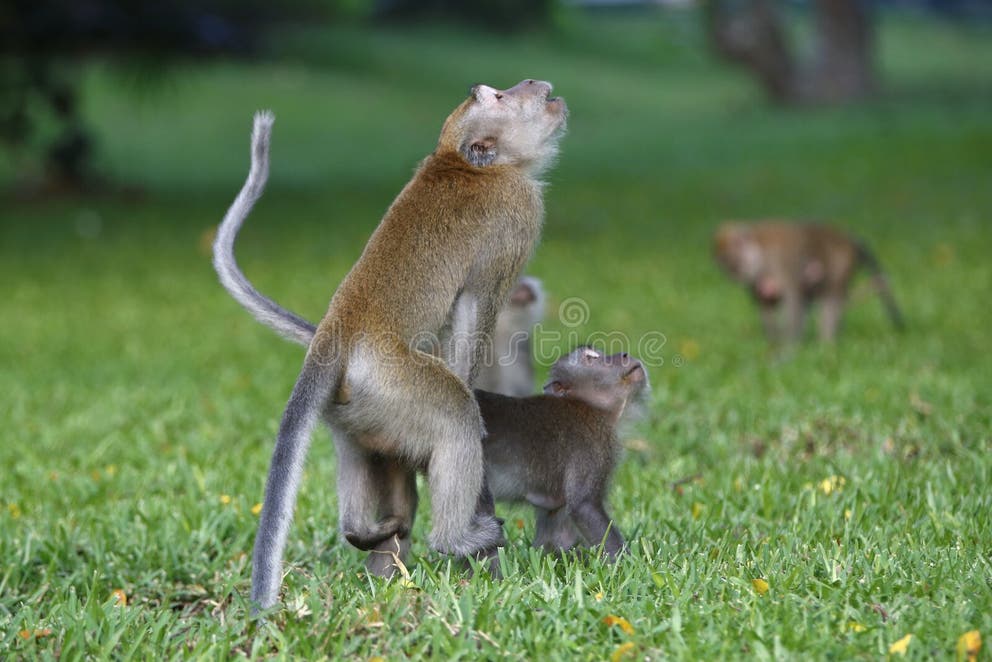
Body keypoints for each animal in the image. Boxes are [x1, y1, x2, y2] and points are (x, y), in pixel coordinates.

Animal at [212, 79, 568, 609]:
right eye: (498, 97)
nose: (532, 84)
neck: (461, 162)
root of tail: (337, 333)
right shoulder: (518, 215)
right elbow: (476, 310)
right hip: (394, 383)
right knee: (454, 413)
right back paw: (455, 538)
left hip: (355, 406)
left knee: (359, 450)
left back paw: (362, 531)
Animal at [473, 346, 651, 560]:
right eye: (591, 358)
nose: (624, 355)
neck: (589, 406)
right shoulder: (591, 444)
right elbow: (583, 506)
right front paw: (627, 563)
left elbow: (557, 537)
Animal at [713, 221, 904, 344]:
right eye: (727, 268)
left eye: (734, 263)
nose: (736, 275)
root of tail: (848, 238)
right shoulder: (755, 281)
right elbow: (767, 304)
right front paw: (773, 341)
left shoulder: (781, 262)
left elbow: (793, 302)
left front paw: (788, 346)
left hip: (841, 262)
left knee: (830, 298)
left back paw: (826, 342)